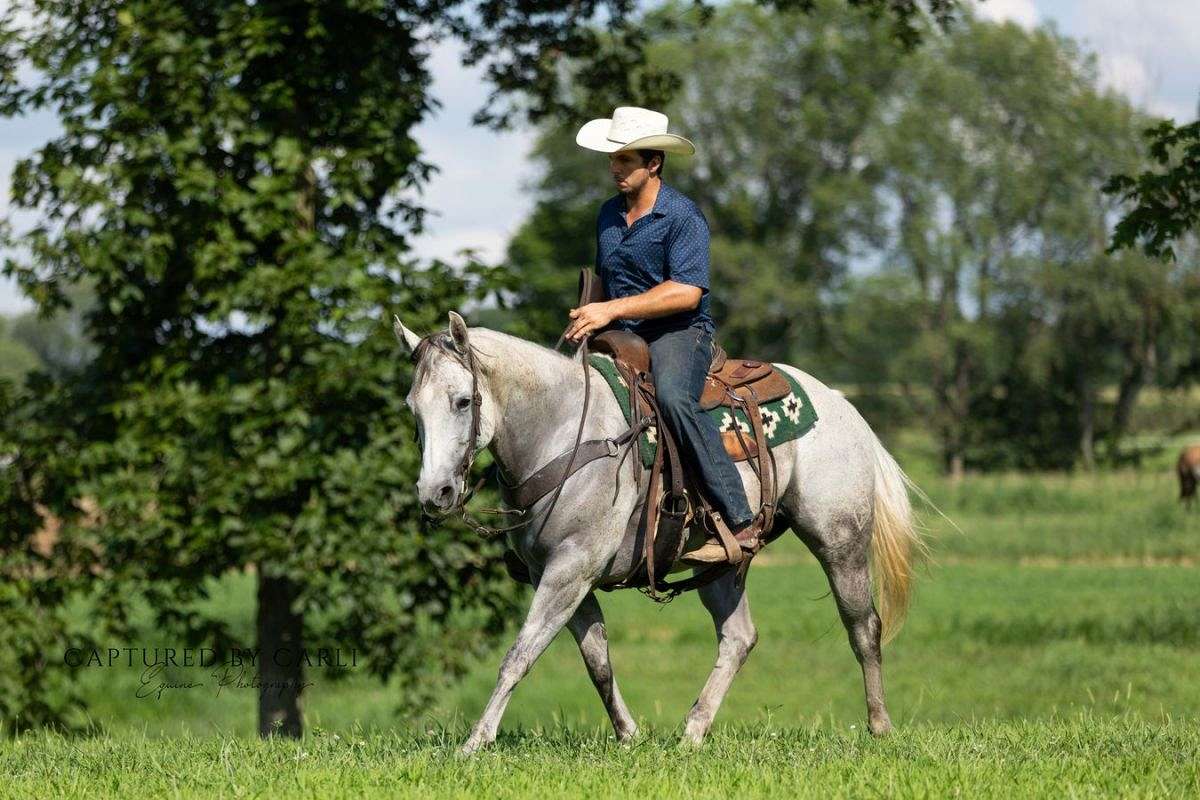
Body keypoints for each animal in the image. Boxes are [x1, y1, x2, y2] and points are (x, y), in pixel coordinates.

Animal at [394, 310, 924, 754]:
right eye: (412, 409)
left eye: (463, 401)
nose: (435, 494)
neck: (562, 433)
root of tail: (841, 404)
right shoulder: (564, 577)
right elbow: (598, 662)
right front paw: (629, 736)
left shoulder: (570, 571)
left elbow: (518, 656)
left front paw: (475, 743)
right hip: (723, 567)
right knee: (738, 638)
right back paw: (692, 733)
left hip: (839, 541)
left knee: (863, 627)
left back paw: (879, 726)